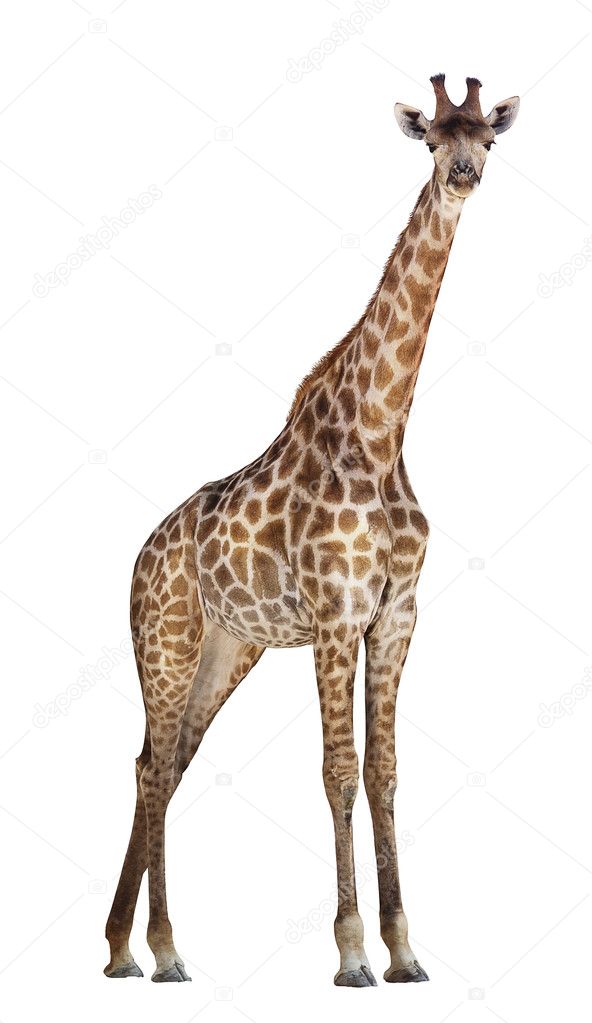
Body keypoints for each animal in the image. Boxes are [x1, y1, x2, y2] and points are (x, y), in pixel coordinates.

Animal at [104, 74, 519, 987]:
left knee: (166, 762)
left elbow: (385, 770)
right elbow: (337, 772)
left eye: (487, 140)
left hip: (230, 648)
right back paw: (163, 947)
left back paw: (123, 947)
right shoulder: (336, 613)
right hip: (167, 639)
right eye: (432, 139)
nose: (465, 176)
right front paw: (355, 953)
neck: (380, 430)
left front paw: (406, 950)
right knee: (151, 762)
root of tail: (141, 557)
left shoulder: (395, 613)